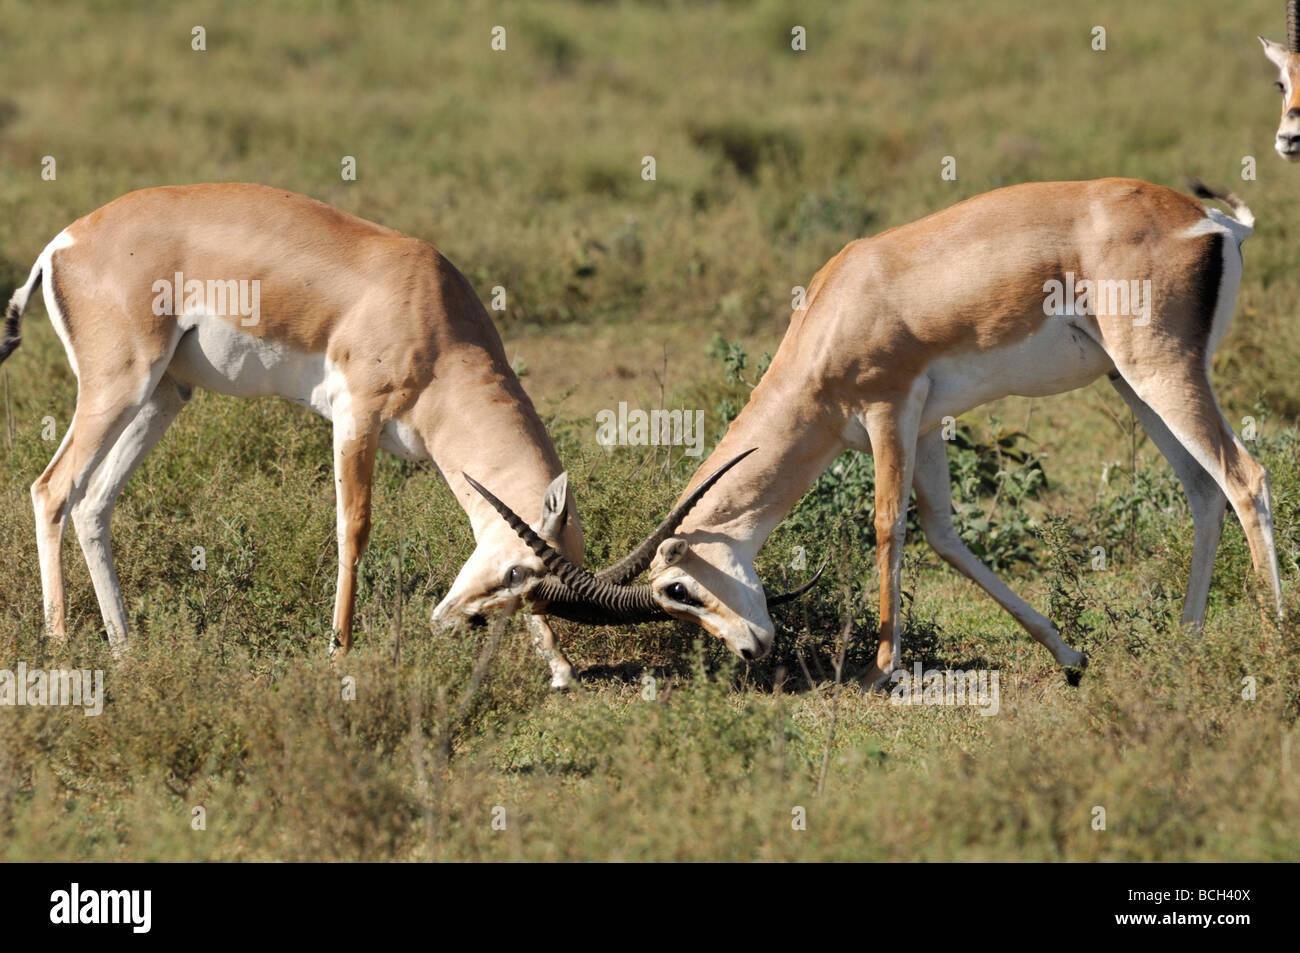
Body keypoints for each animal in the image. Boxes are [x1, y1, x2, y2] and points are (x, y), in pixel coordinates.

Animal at [0, 183, 739, 686]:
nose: (449, 620)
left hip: (164, 396)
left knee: (94, 502)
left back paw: (127, 648)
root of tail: (62, 244)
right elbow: (353, 529)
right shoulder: (355, 416)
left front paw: (558, 668)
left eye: (533, 588)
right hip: (119, 386)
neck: (433, 320)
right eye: (516, 570)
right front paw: (340, 650)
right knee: (51, 489)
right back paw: (61, 647)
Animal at [475, 178, 1284, 687]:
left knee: (1245, 478)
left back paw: (1274, 645)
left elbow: (887, 525)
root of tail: (1213, 221)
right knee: (1203, 492)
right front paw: (1069, 654)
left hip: (1159, 371)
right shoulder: (924, 429)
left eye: (679, 588)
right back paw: (1186, 641)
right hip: (1133, 381)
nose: (750, 649)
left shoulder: (889, 409)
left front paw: (880, 669)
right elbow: (945, 536)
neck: (840, 306)